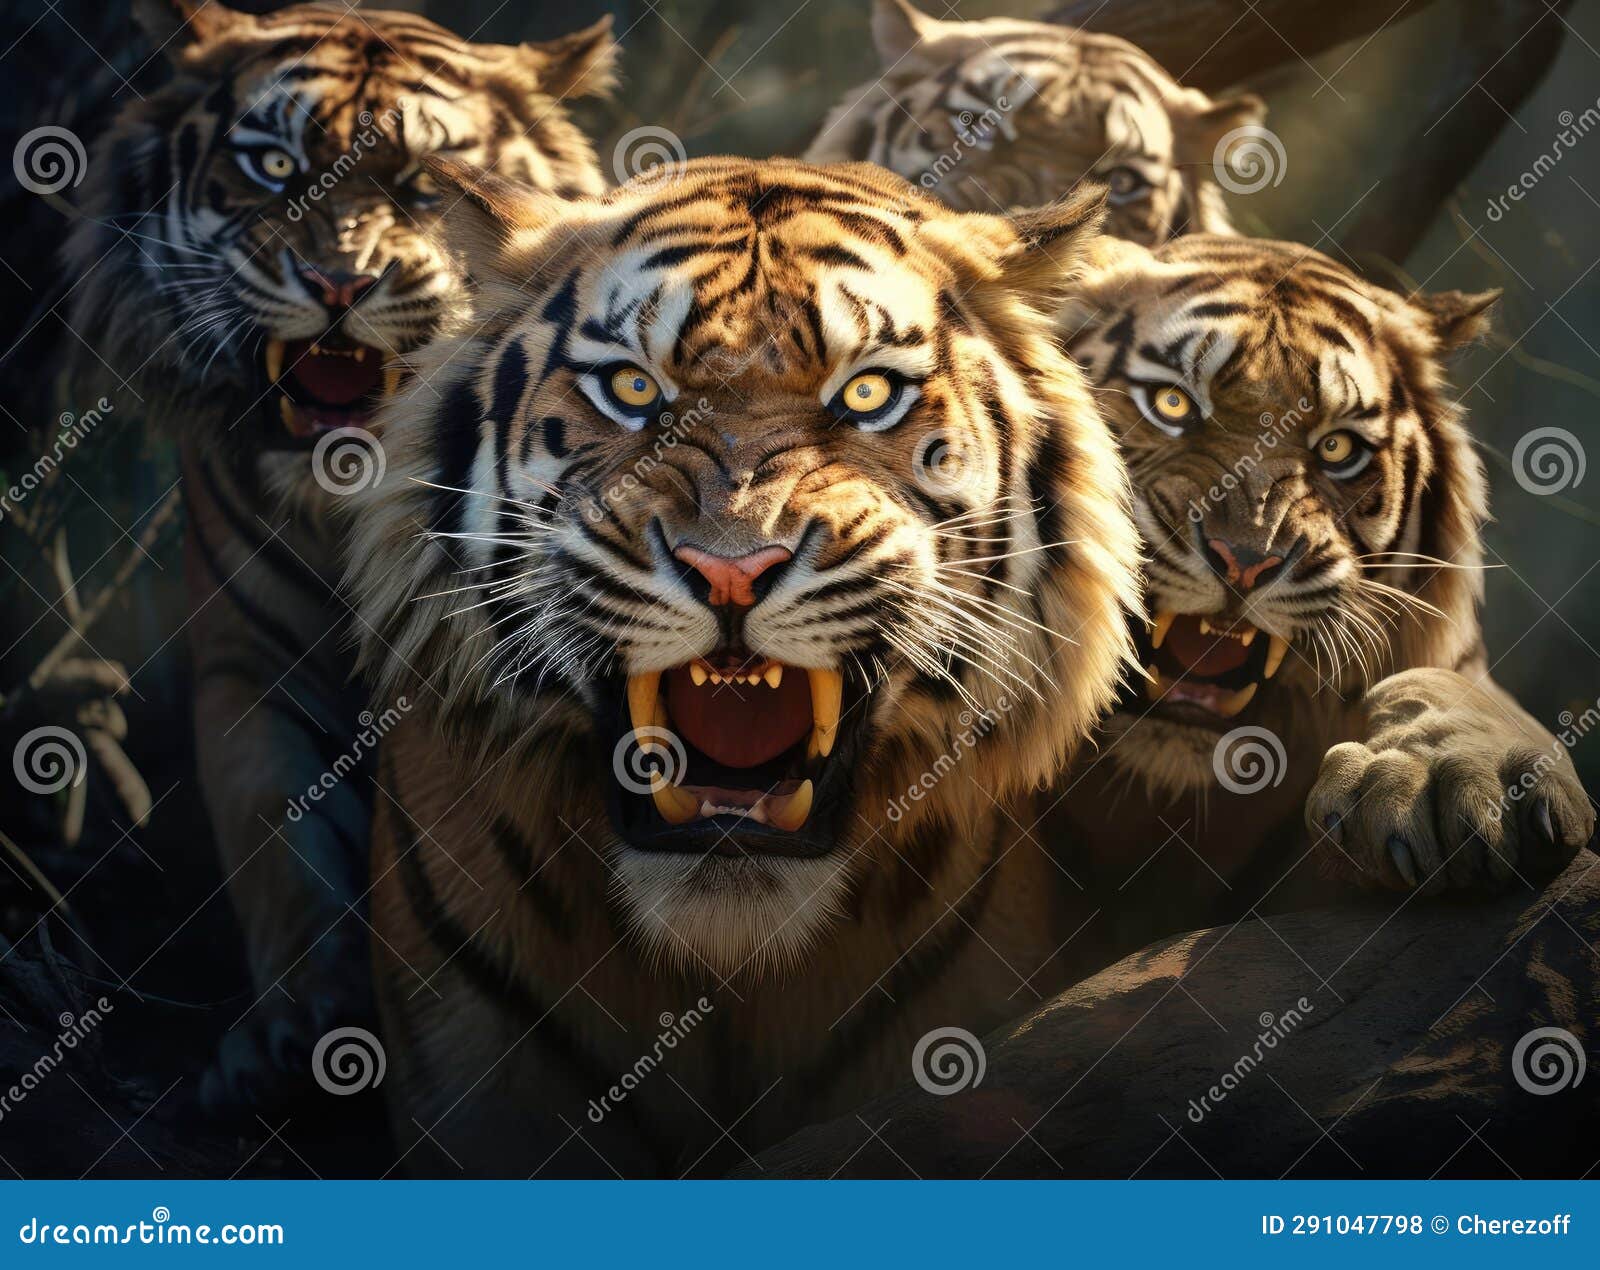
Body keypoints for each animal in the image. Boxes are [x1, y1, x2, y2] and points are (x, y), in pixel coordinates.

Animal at [59, 0, 617, 1112]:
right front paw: (301, 1029)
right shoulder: (248, 666)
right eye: (276, 166)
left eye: (427, 187)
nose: (338, 282)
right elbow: (277, 839)